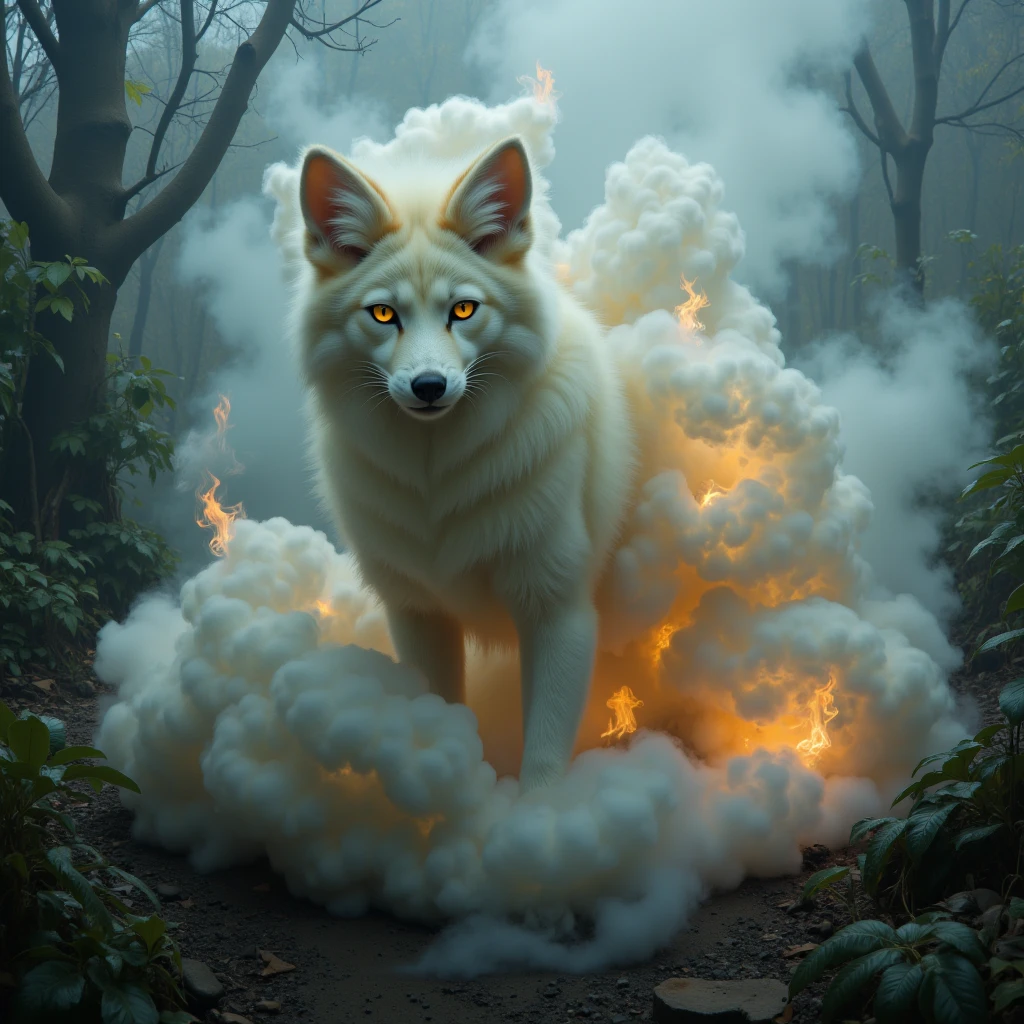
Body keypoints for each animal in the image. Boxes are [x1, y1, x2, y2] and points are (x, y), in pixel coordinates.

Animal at [293, 136, 636, 791]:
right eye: (384, 315)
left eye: (463, 310)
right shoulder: (419, 613)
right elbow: (442, 708)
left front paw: (538, 811)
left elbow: (544, 756)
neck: (438, 481)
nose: (429, 386)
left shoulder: (558, 609)